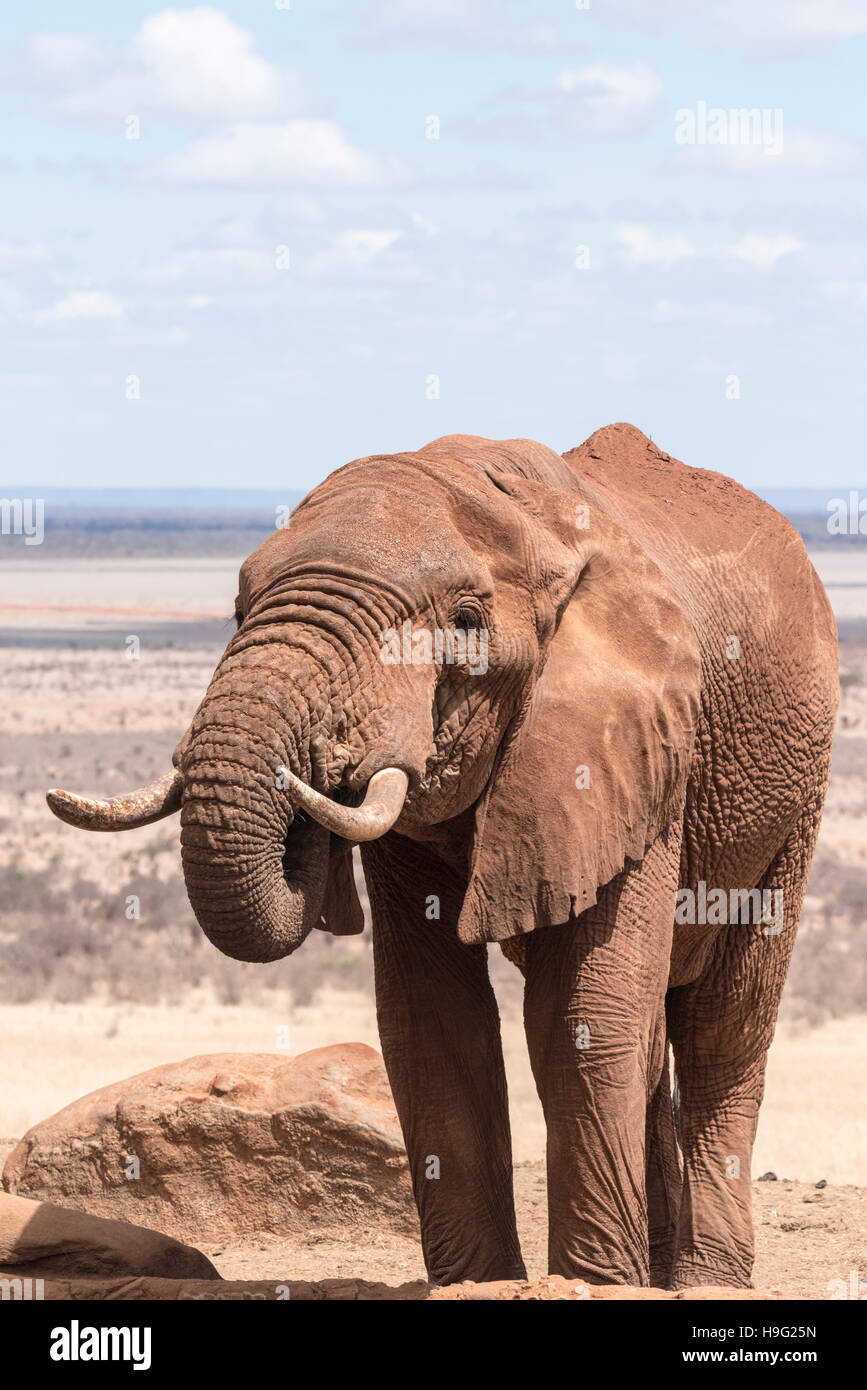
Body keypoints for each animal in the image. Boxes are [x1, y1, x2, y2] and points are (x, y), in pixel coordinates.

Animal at [46, 422, 838, 1289]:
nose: (317, 768)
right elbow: (429, 1014)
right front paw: (480, 1282)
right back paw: (659, 1272)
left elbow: (582, 1013)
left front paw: (590, 1285)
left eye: (463, 623)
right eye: (236, 607)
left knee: (724, 1022)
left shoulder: (640, 750)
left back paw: (701, 1280)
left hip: (792, 791)